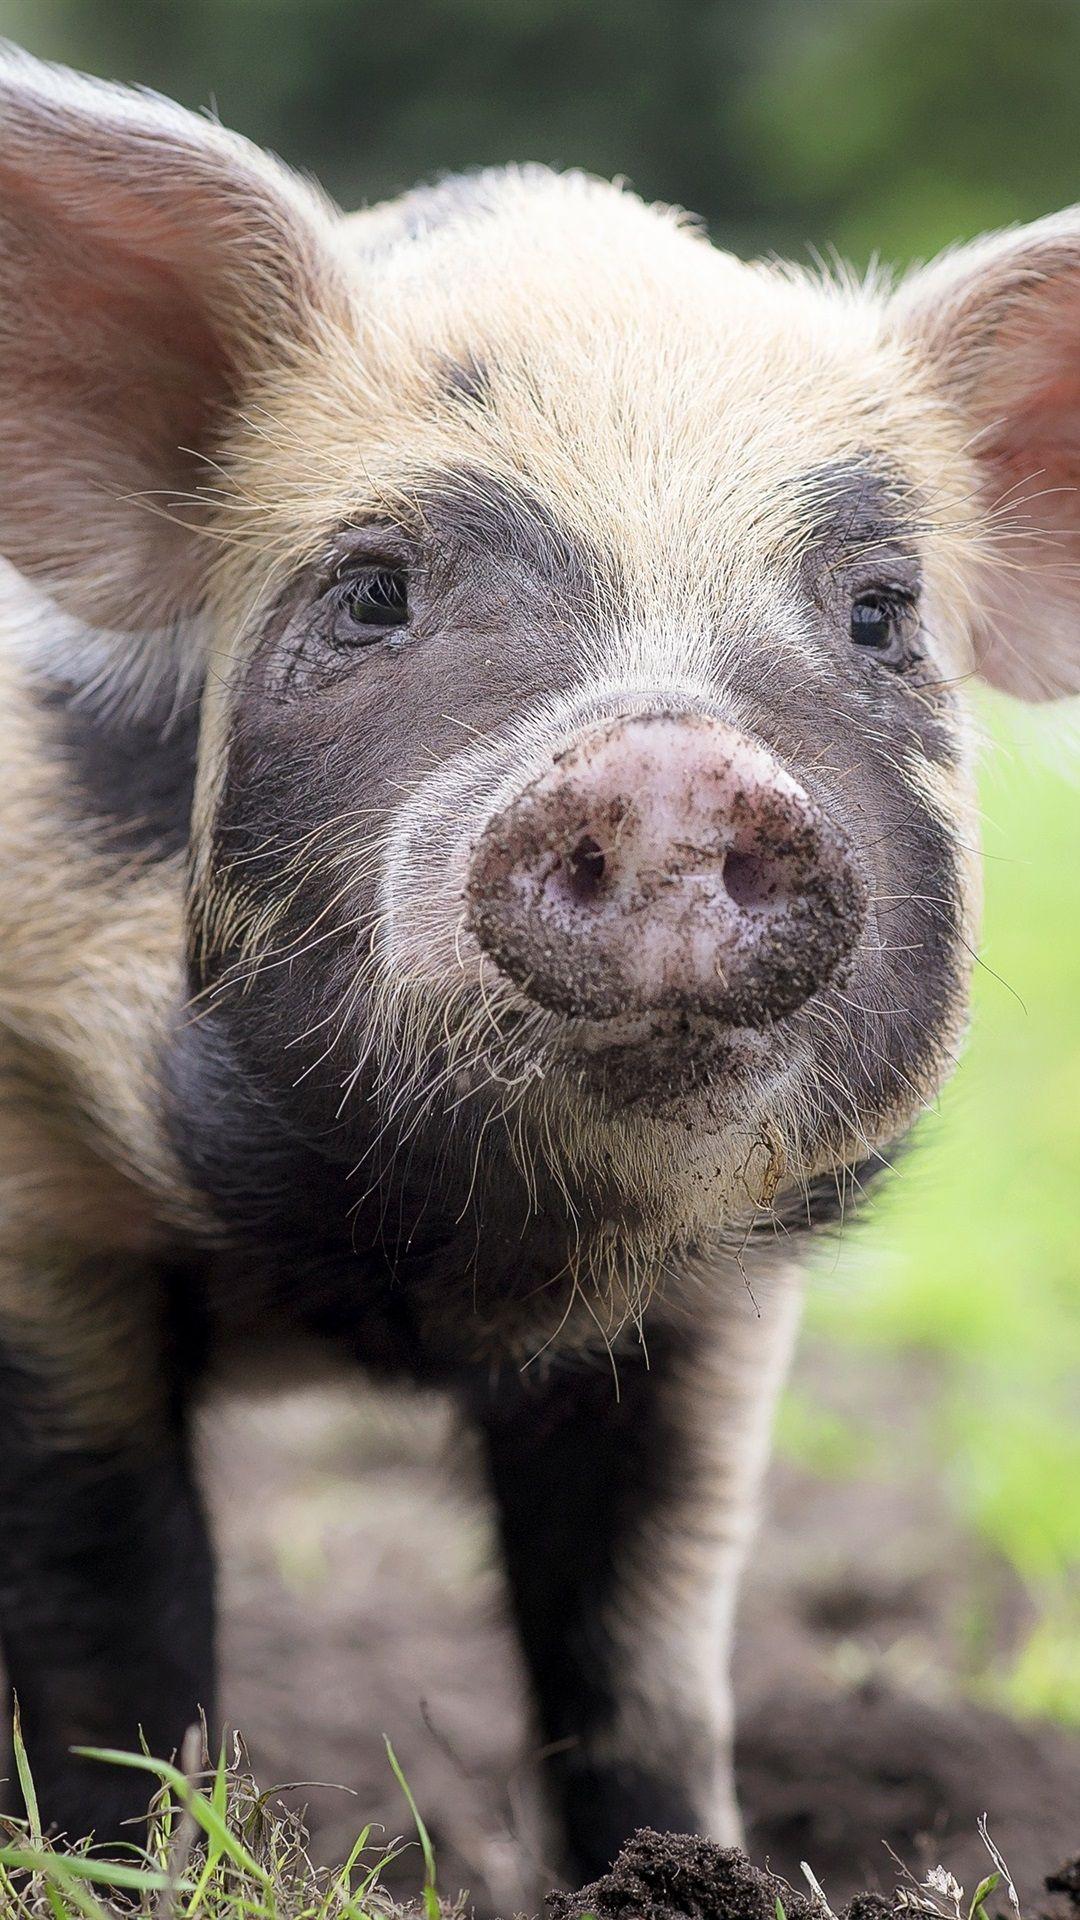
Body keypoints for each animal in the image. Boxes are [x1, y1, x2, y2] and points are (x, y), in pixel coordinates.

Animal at [1, 39, 1078, 1883]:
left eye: (881, 615)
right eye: (373, 592)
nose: (667, 760)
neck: (433, 1275)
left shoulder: (720, 1308)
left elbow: (642, 1638)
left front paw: (686, 1871)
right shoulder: (36, 1185)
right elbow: (103, 1605)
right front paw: (122, 1869)